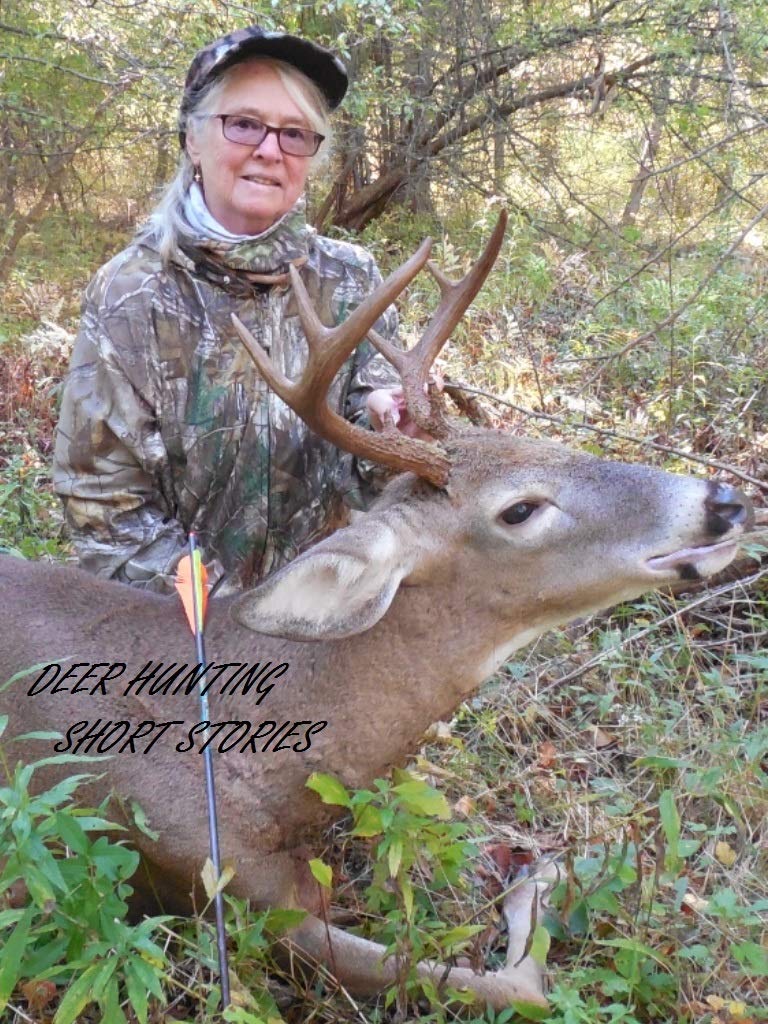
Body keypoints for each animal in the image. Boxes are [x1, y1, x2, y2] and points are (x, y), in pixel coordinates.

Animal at [0, 213, 752, 1011]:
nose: (726, 500)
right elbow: (512, 986)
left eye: (541, 441)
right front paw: (541, 876)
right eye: (519, 509)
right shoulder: (226, 889)